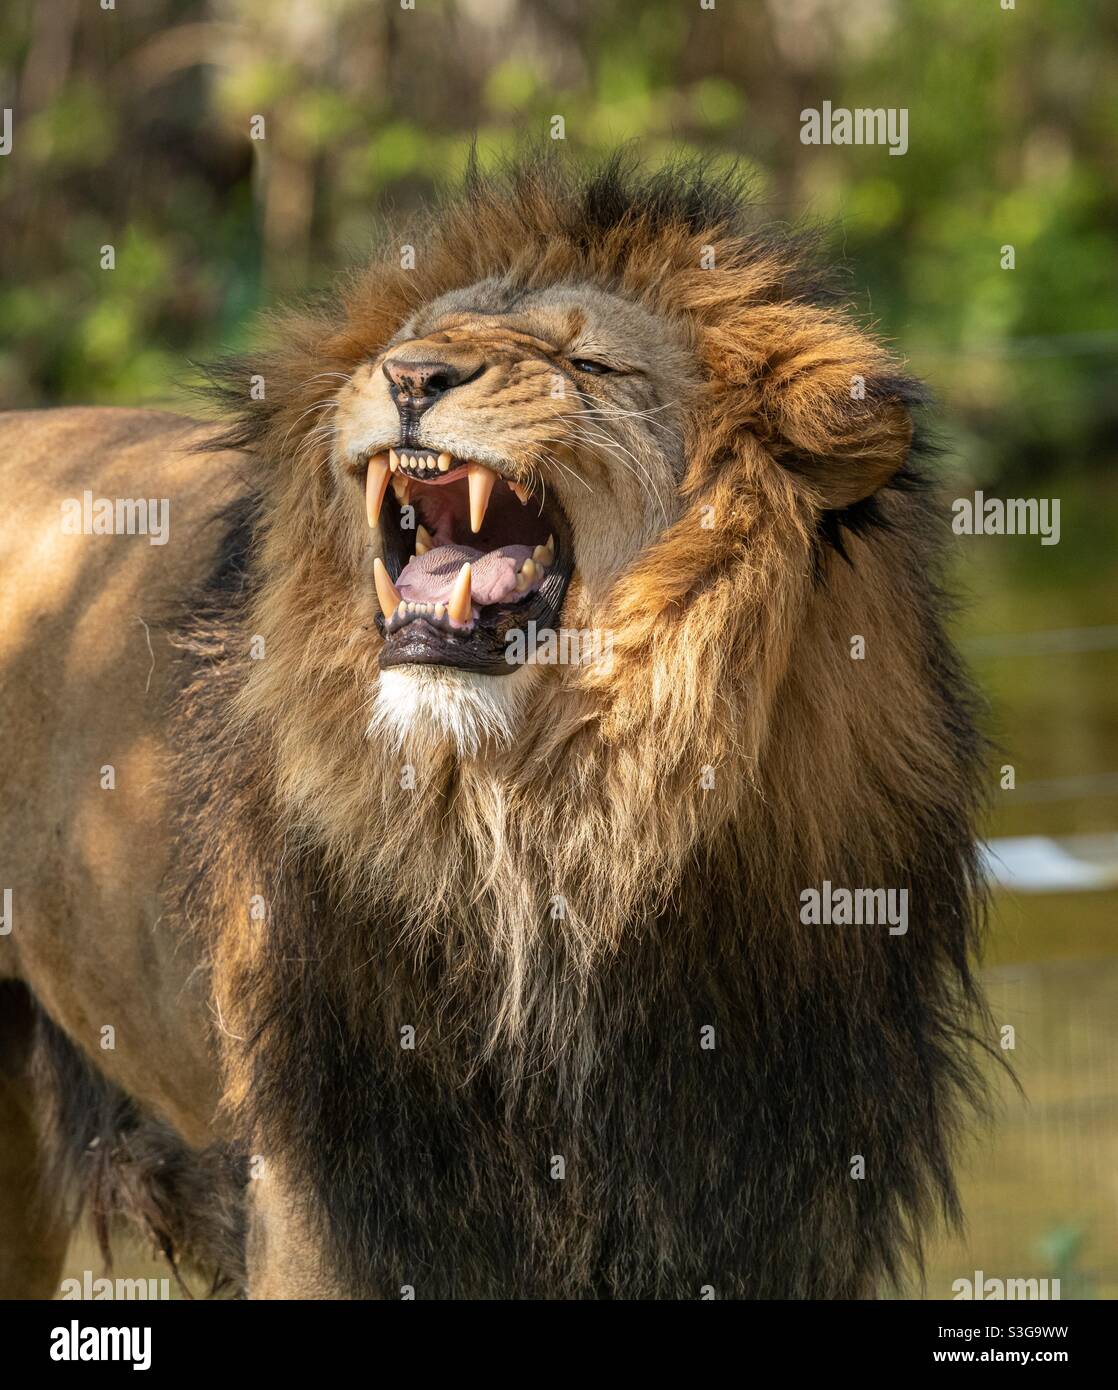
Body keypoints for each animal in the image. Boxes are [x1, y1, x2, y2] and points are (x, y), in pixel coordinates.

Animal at [0, 154, 990, 1299]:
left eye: (593, 363)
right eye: (411, 340)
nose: (409, 378)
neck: (546, 823)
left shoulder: (777, 1201)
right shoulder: (331, 1190)